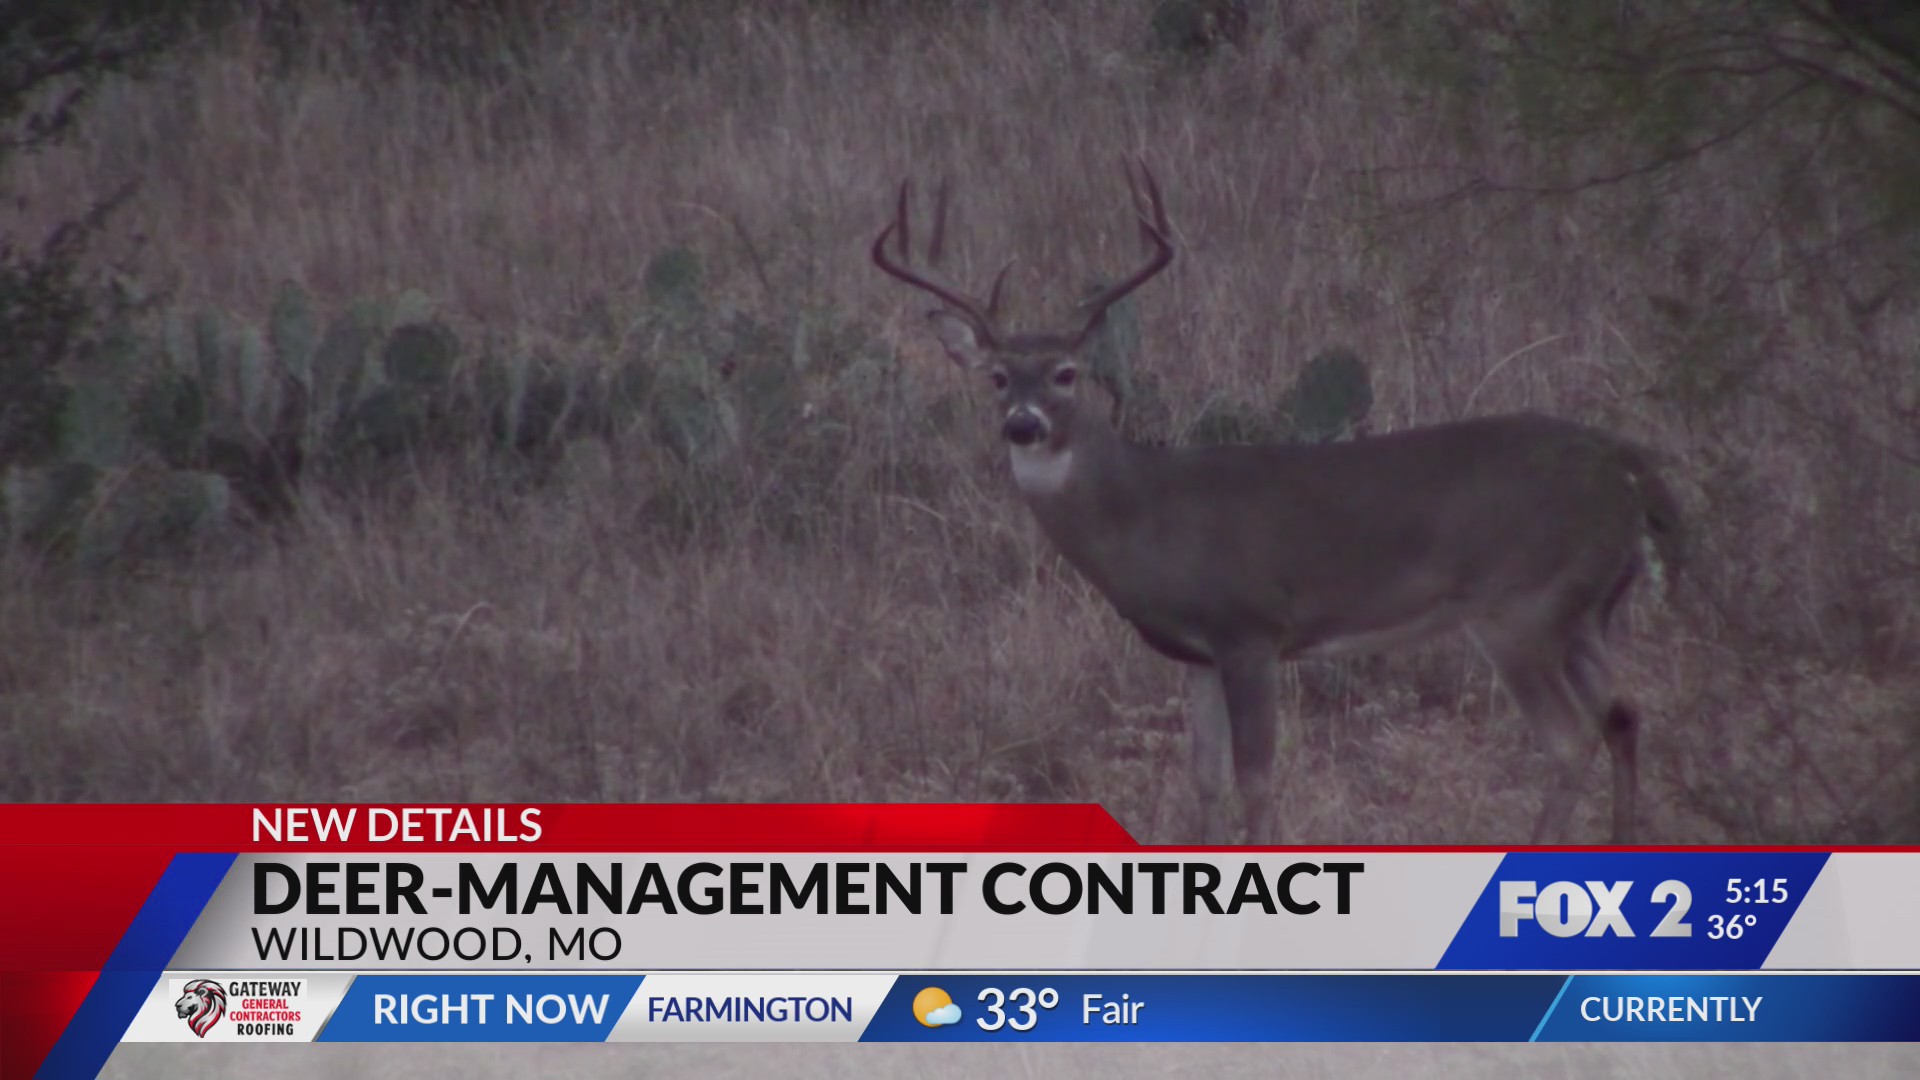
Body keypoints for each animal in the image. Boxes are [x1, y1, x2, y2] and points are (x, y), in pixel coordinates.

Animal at [870, 158, 1685, 846]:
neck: (1145, 515)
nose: (1023, 424)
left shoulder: (1251, 628)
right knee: (1625, 713)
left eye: (1067, 373)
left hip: (1520, 603)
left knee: (1570, 738)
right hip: (1585, 608)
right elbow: (1203, 782)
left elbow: (1257, 782)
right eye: (998, 377)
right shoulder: (1196, 653)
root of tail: (1630, 466)